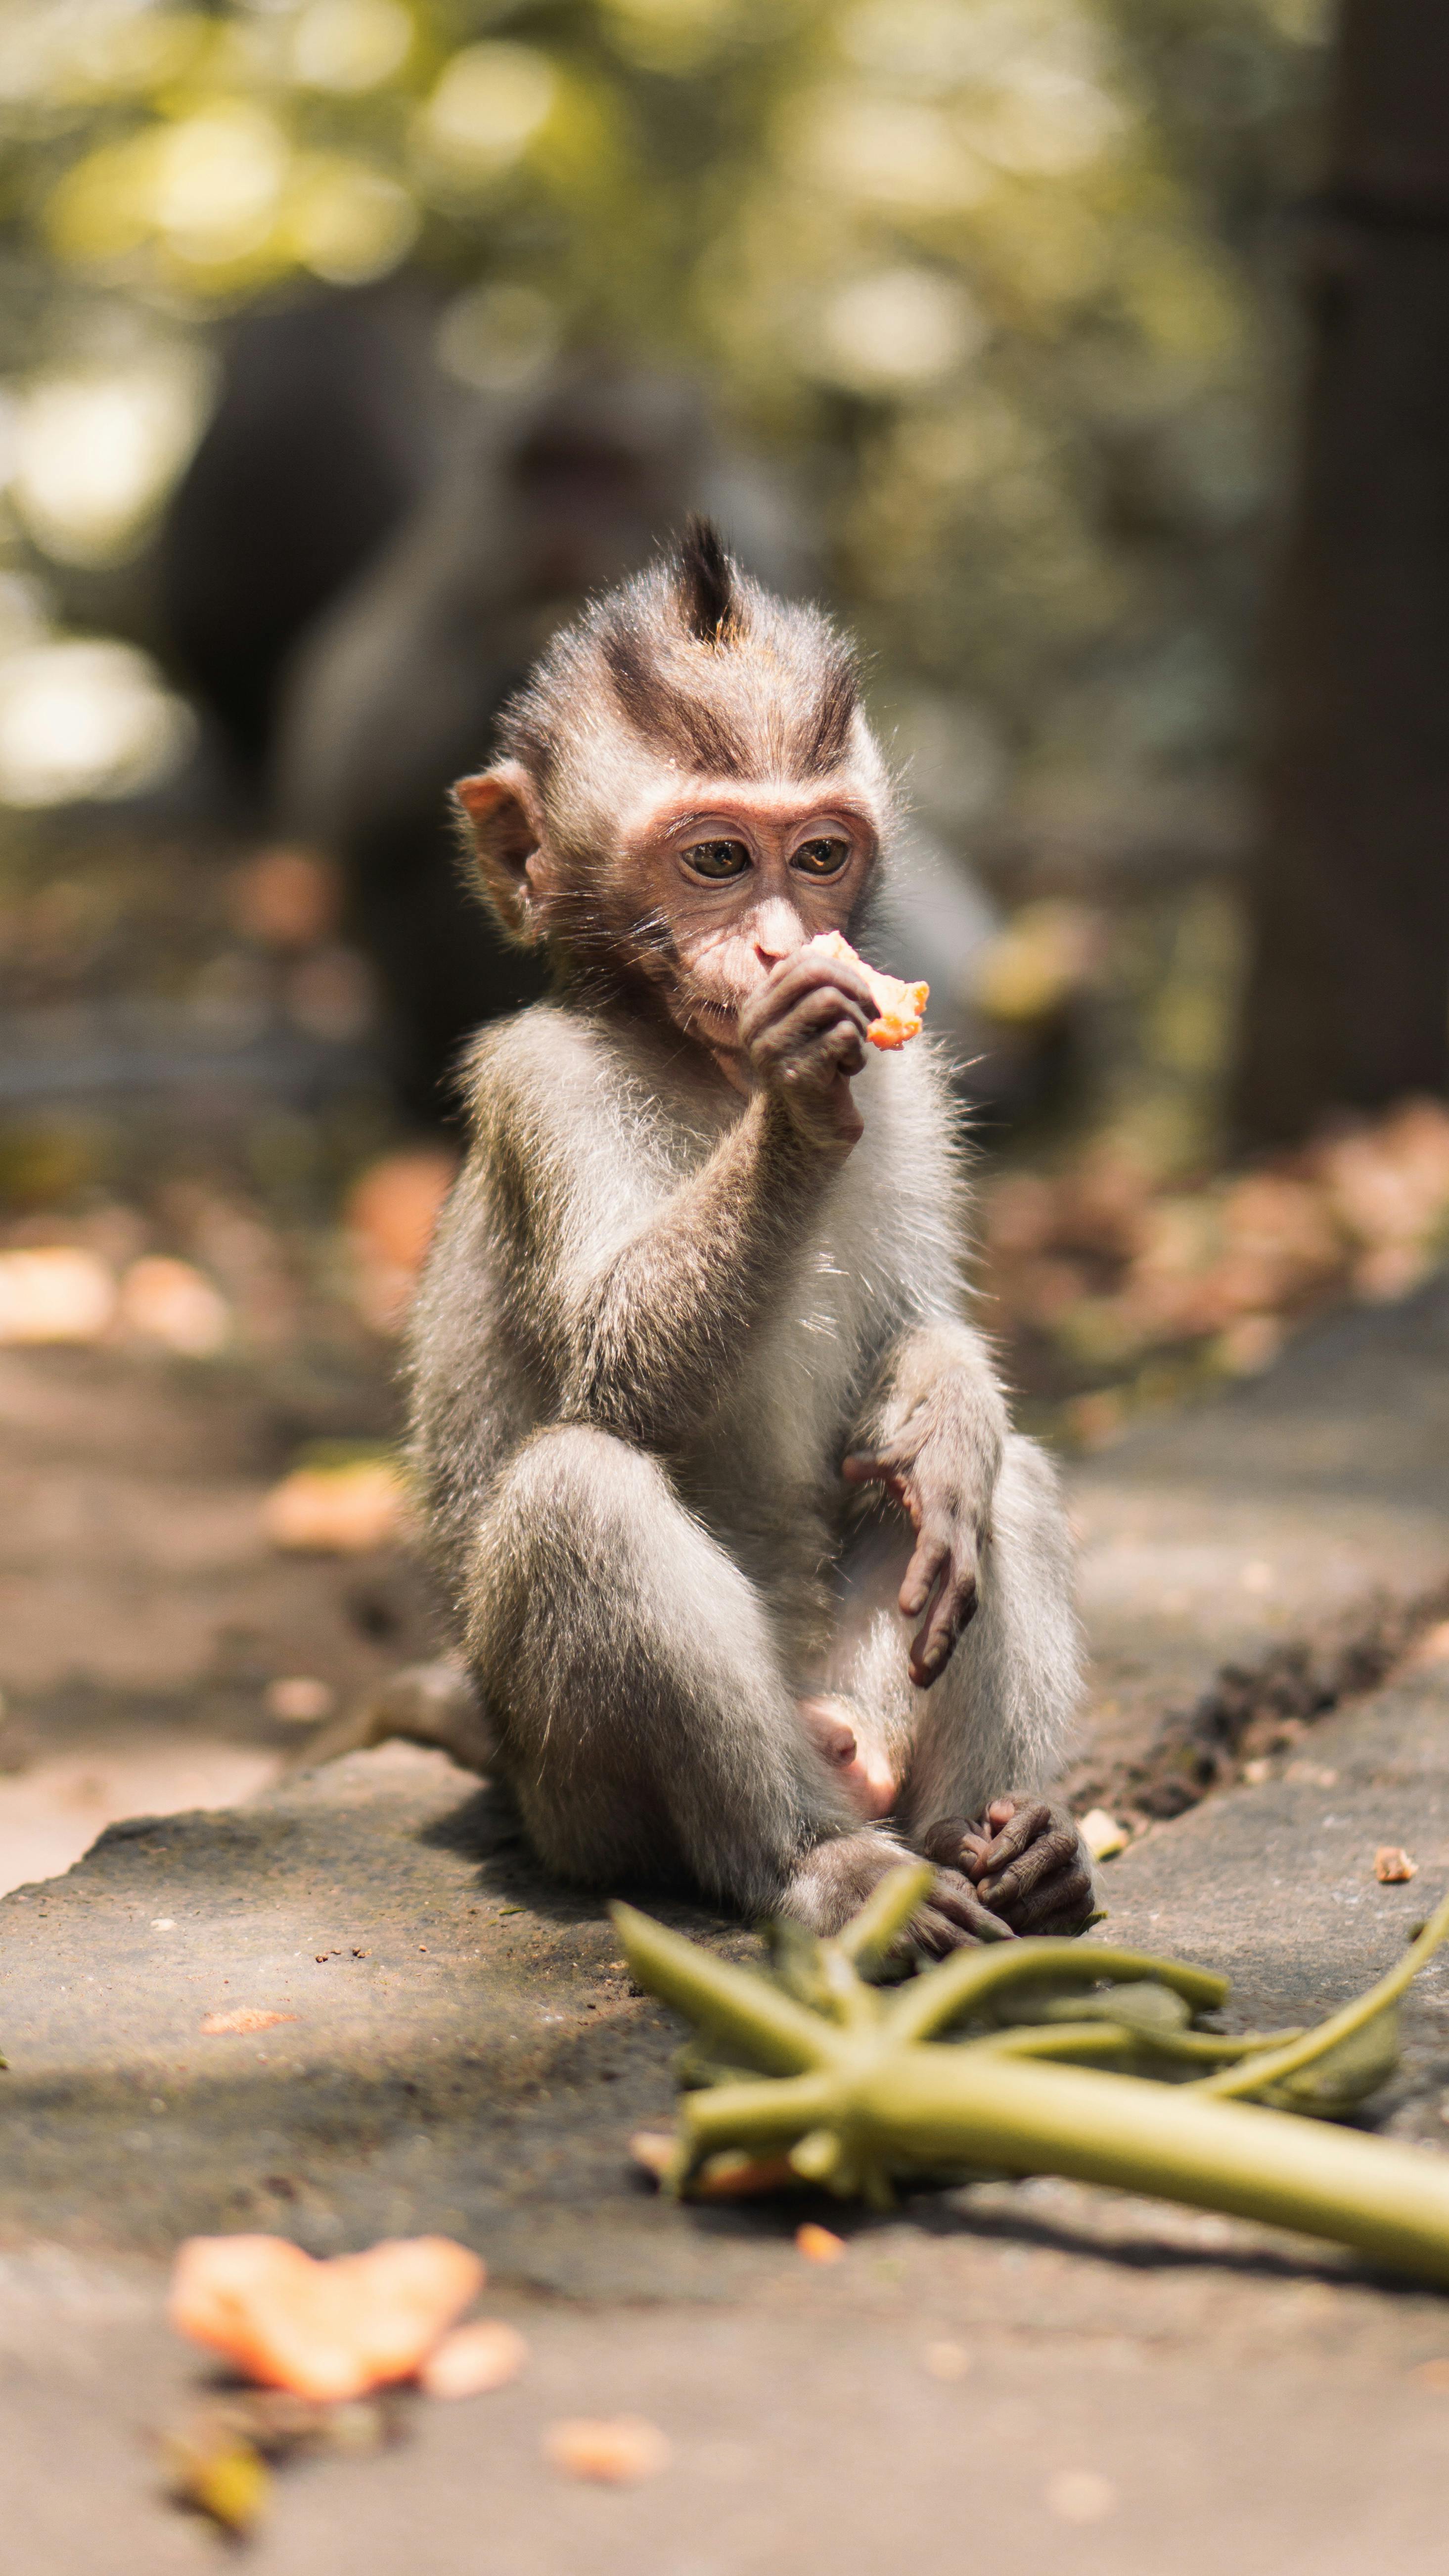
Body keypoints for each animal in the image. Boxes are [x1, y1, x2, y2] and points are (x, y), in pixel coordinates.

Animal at [381, 519, 1092, 1950]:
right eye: (716, 861)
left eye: (817, 856)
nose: (781, 941)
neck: (700, 1067)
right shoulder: (542, 1084)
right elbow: (613, 1366)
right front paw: (796, 1111)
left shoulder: (916, 1090)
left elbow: (924, 1330)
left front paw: (940, 1404)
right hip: (579, 1804)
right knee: (578, 1497)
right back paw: (823, 1871)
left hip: (874, 1690)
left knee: (1007, 1486)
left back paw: (1006, 1848)